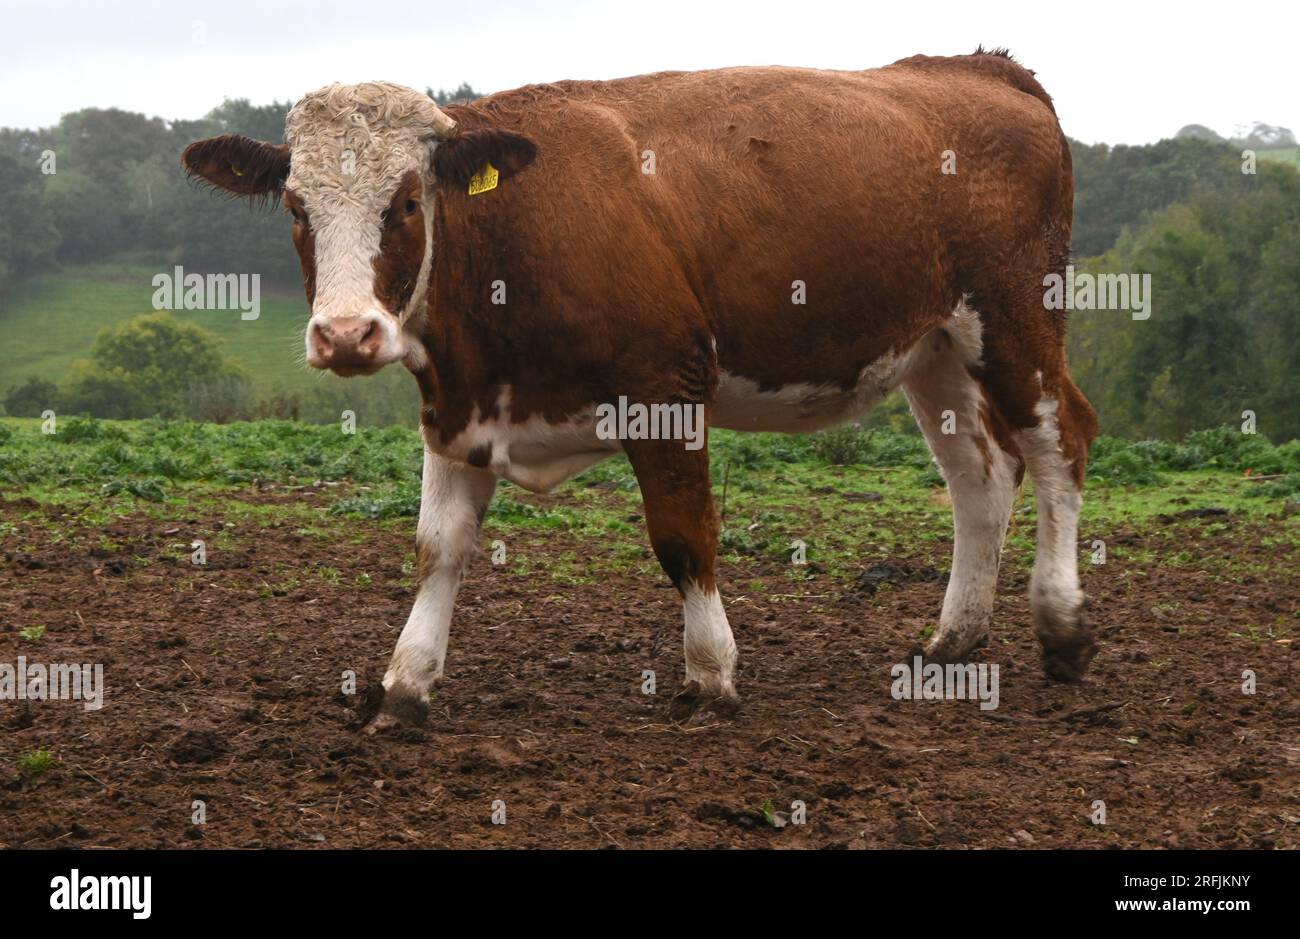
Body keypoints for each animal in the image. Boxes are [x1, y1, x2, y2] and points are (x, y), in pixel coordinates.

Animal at [183, 48, 1099, 731]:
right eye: (296, 207)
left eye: (408, 201)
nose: (346, 335)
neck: (512, 235)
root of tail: (980, 67)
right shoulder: (455, 409)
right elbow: (437, 548)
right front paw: (405, 684)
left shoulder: (668, 389)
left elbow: (685, 537)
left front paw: (712, 675)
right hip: (934, 346)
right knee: (981, 475)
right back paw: (953, 638)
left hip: (1017, 316)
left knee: (1060, 440)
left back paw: (1061, 624)